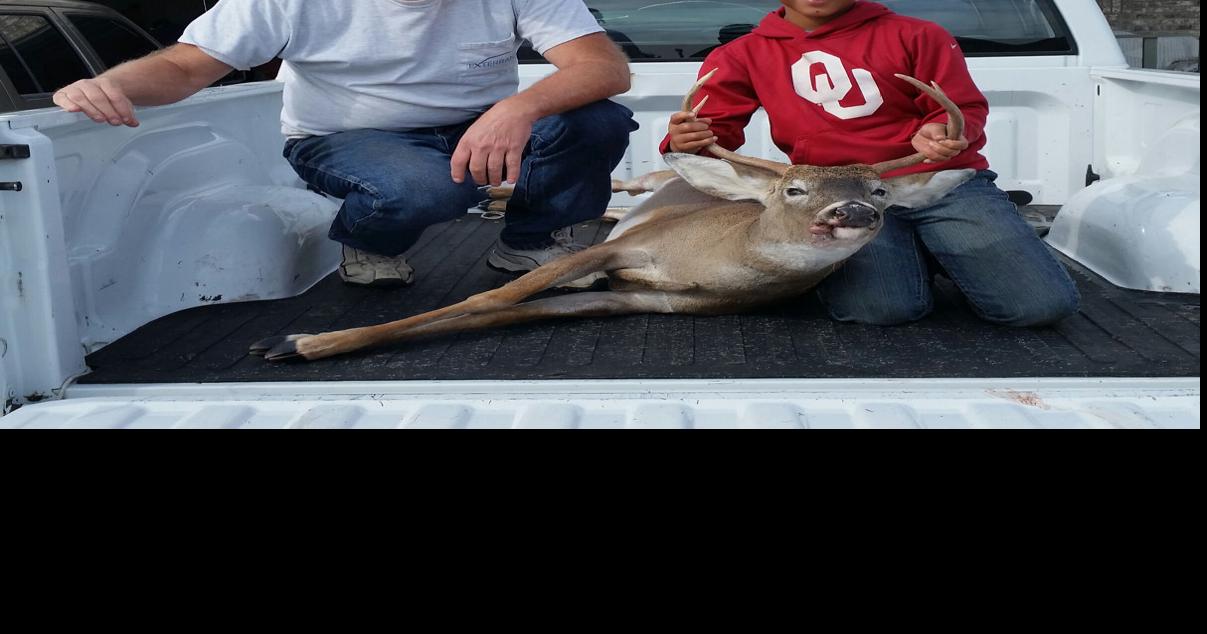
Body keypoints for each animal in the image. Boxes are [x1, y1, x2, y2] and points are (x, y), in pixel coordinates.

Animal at [249, 71, 974, 362]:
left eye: (881, 194)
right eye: (794, 190)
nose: (851, 209)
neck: (724, 259)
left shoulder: (639, 299)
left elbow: (506, 313)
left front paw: (301, 342)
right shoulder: (622, 251)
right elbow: (496, 295)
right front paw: (299, 341)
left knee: (609, 203)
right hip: (652, 182)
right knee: (620, 185)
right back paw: (495, 196)